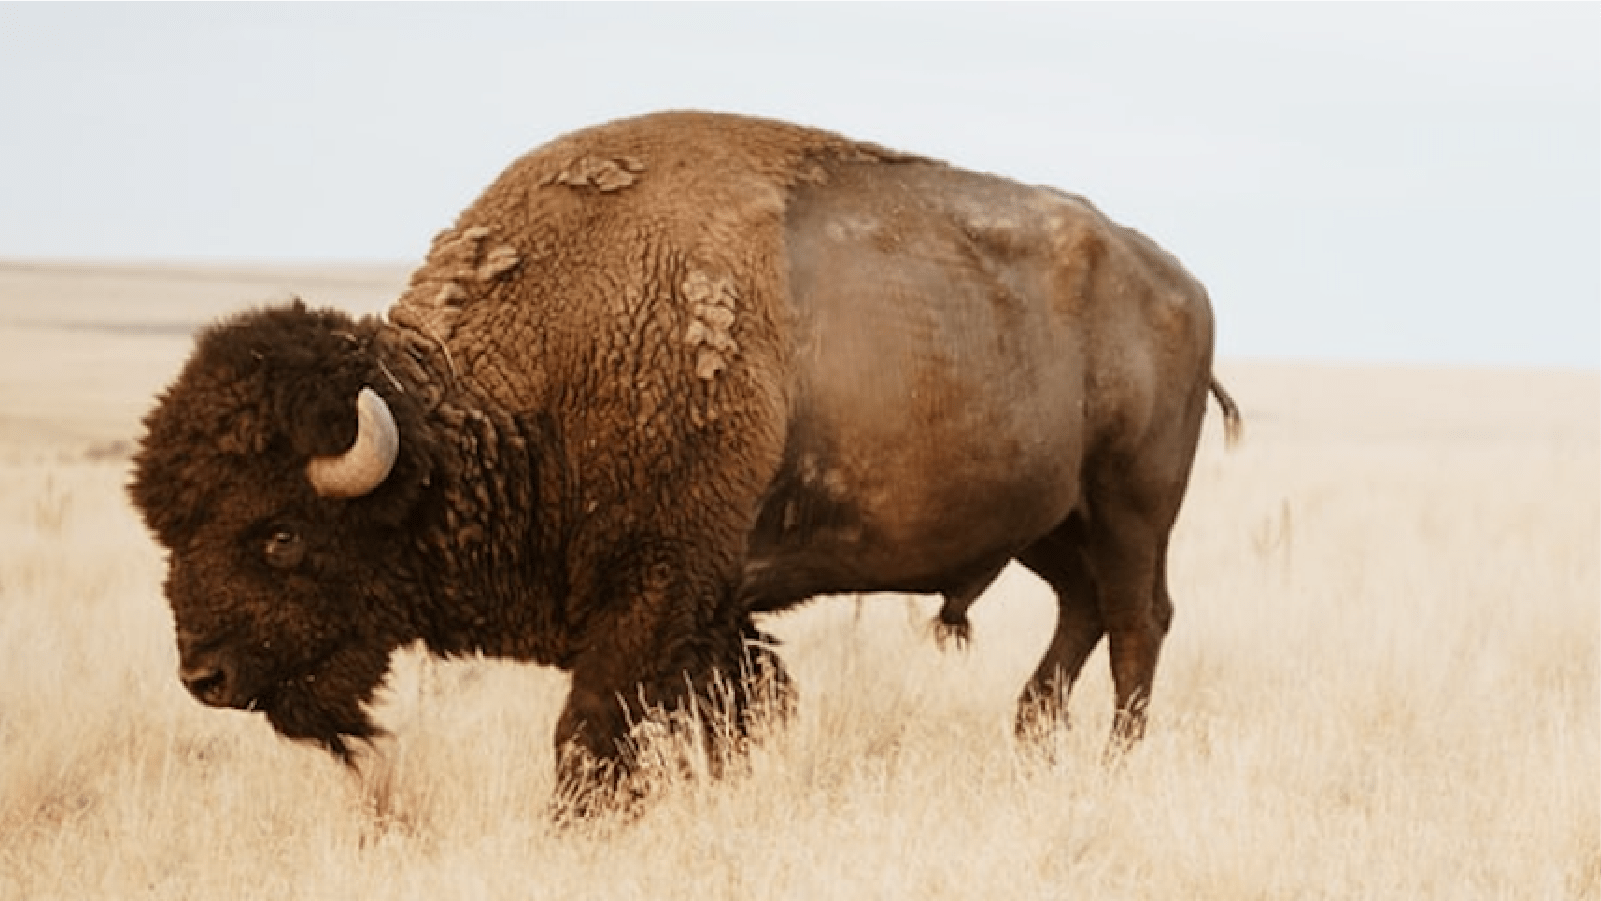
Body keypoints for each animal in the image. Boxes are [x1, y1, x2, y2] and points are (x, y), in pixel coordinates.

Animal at [130, 111, 1239, 799]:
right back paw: (1029, 736)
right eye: (168, 530)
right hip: (1048, 523)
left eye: (280, 534)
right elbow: (727, 716)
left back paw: (1112, 760)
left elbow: (591, 734)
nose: (204, 674)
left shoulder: (656, 592)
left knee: (1137, 624)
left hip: (1130, 504)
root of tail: (1179, 282)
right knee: (1083, 611)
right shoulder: (709, 613)